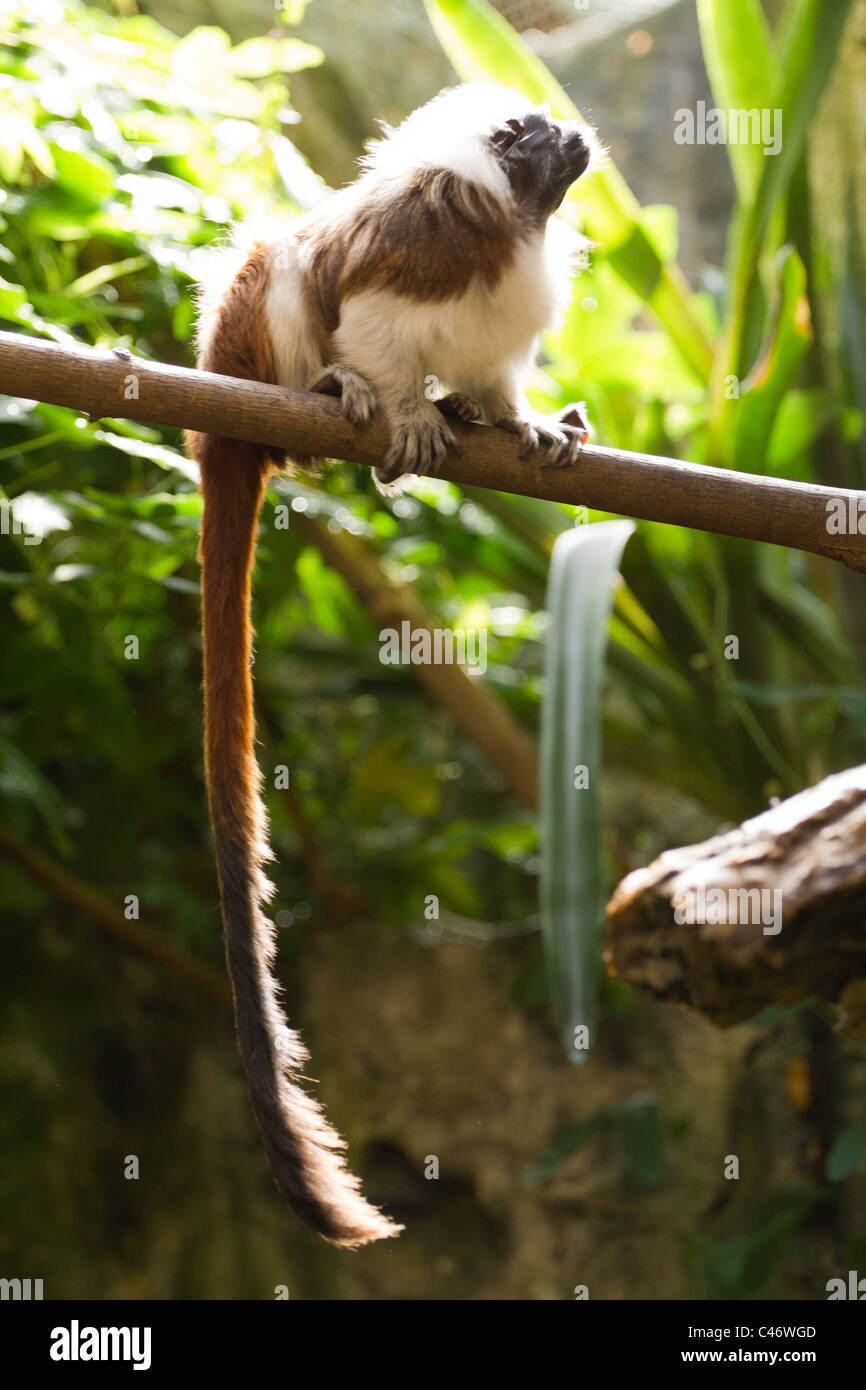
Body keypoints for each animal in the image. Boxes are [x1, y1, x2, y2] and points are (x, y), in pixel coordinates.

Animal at [187, 83, 596, 1247]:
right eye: (539, 132)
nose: (578, 132)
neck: (512, 216)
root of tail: (218, 430)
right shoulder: (421, 239)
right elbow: (370, 319)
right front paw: (402, 402)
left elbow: (494, 369)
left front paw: (513, 418)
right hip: (246, 353)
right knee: (280, 261)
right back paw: (333, 391)